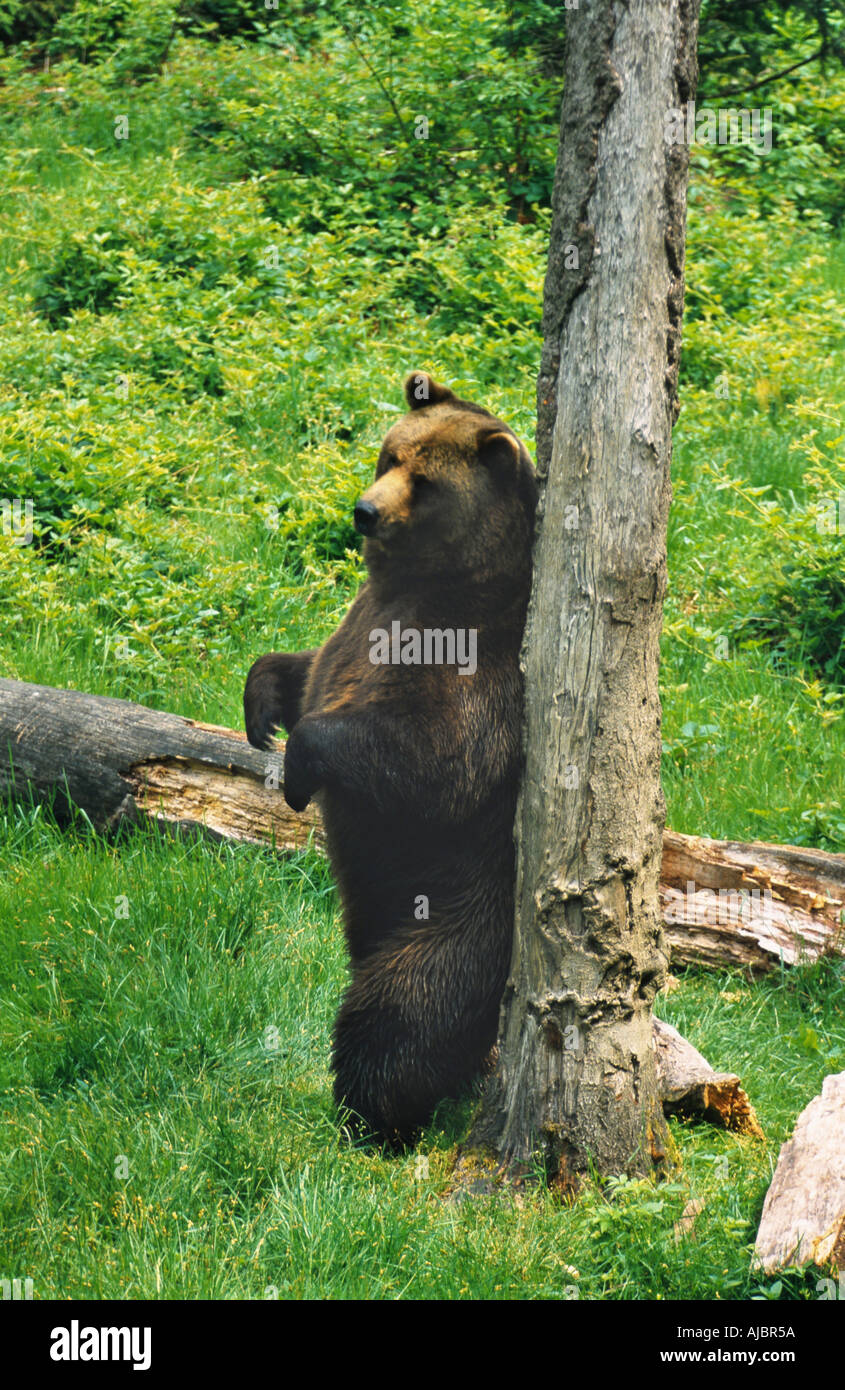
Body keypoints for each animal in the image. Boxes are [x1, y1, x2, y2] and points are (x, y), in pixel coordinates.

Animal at [244, 372, 538, 1145]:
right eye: (390, 455)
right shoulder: (358, 622)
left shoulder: (472, 668)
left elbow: (431, 762)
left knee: (399, 1016)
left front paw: (297, 771)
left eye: (426, 481)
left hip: (456, 922)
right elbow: (306, 668)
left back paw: (370, 1121)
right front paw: (261, 712)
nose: (364, 511)